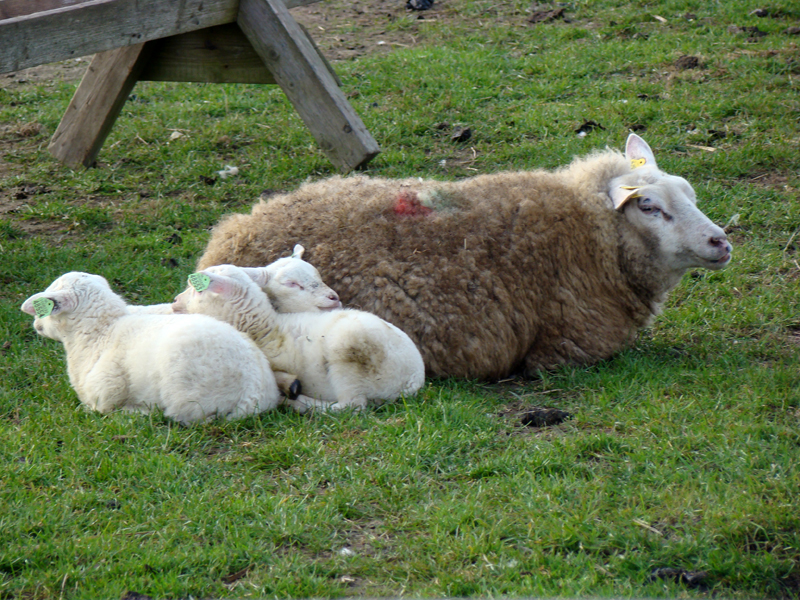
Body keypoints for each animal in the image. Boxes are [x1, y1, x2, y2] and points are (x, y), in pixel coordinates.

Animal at [21, 271, 281, 424]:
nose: (35, 325)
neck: (102, 331)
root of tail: (254, 392)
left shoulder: (104, 393)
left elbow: (102, 409)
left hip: (188, 396)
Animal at [171, 263, 426, 412]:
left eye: (196, 289)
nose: (174, 301)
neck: (265, 328)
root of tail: (415, 378)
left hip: (348, 354)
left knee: (352, 405)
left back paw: (299, 403)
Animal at [197, 134, 733, 379]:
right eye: (649, 206)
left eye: (689, 191)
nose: (720, 242)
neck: (592, 236)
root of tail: (227, 237)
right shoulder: (567, 350)